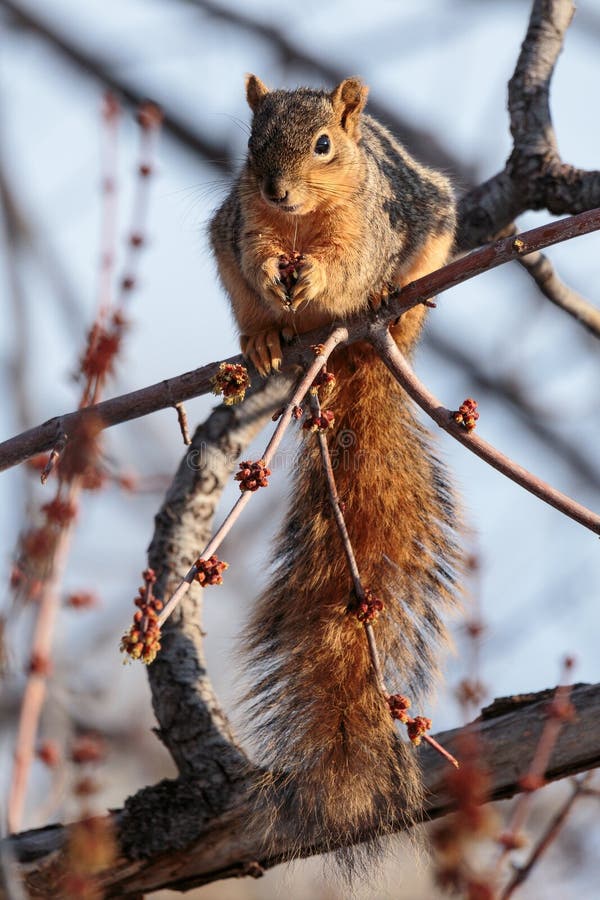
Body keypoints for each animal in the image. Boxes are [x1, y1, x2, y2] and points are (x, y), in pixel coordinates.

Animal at [209, 75, 461, 858]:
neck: (302, 221)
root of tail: (348, 348)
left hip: (430, 239)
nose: (276, 187)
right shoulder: (242, 226)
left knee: (392, 294)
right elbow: (256, 251)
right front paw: (275, 279)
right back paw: (265, 336)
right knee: (253, 307)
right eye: (251, 140)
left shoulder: (372, 223)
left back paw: (389, 309)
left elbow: (347, 259)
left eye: (324, 145)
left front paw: (321, 272)